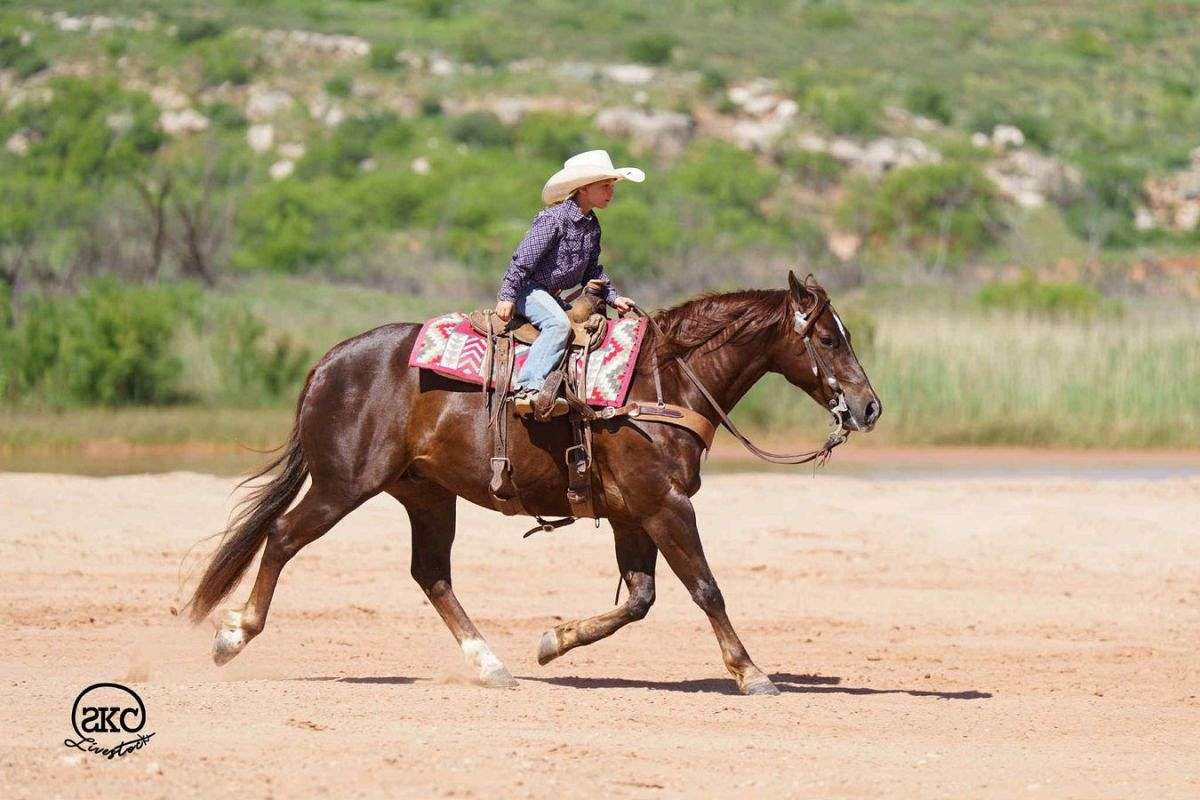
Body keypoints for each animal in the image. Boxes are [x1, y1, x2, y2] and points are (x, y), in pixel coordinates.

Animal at [186, 271, 881, 696]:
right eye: (826, 337)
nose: (868, 407)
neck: (662, 381)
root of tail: (330, 360)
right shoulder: (664, 505)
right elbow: (706, 589)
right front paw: (750, 673)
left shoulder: (632, 513)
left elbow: (639, 599)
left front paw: (553, 641)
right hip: (343, 485)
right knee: (282, 536)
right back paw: (232, 637)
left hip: (426, 494)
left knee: (430, 574)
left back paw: (493, 666)